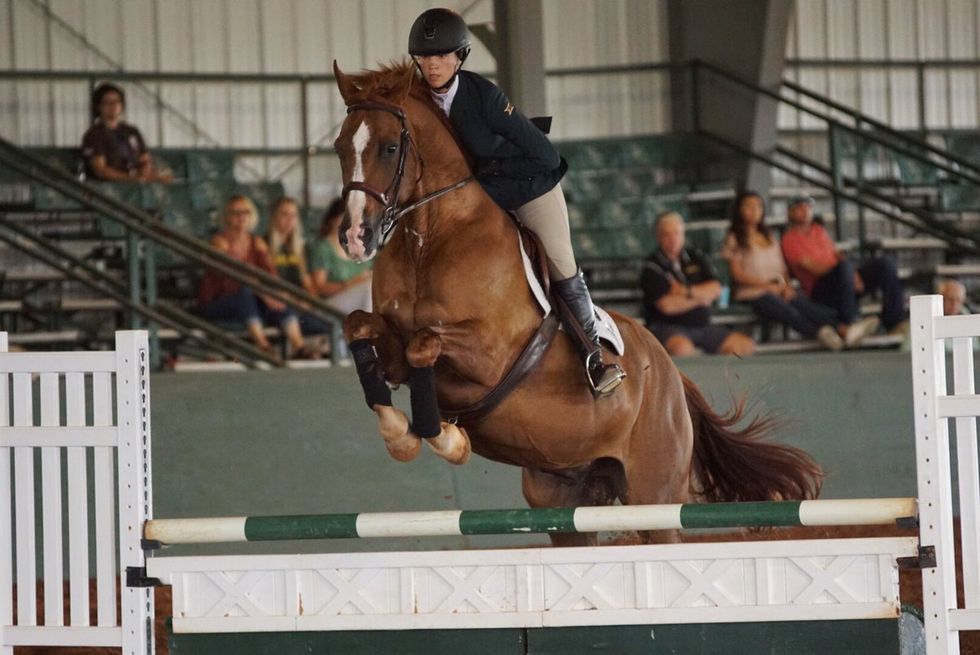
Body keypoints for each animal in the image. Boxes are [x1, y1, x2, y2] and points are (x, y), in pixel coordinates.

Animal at [331, 61, 821, 546]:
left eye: (390, 148)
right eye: (339, 148)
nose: (355, 237)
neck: (429, 240)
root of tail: (671, 374)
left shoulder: (488, 353)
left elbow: (424, 343)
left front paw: (446, 440)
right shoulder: (395, 345)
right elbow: (361, 327)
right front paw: (400, 432)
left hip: (656, 497)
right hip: (564, 504)